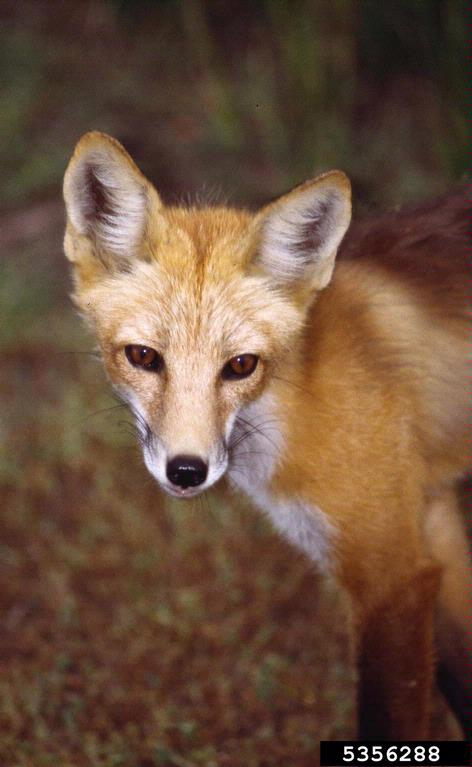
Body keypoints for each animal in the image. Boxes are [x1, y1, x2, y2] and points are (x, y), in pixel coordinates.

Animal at [63, 131, 471, 741]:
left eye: (241, 365)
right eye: (143, 357)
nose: (188, 470)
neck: (297, 400)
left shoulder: (391, 576)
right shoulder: (432, 520)